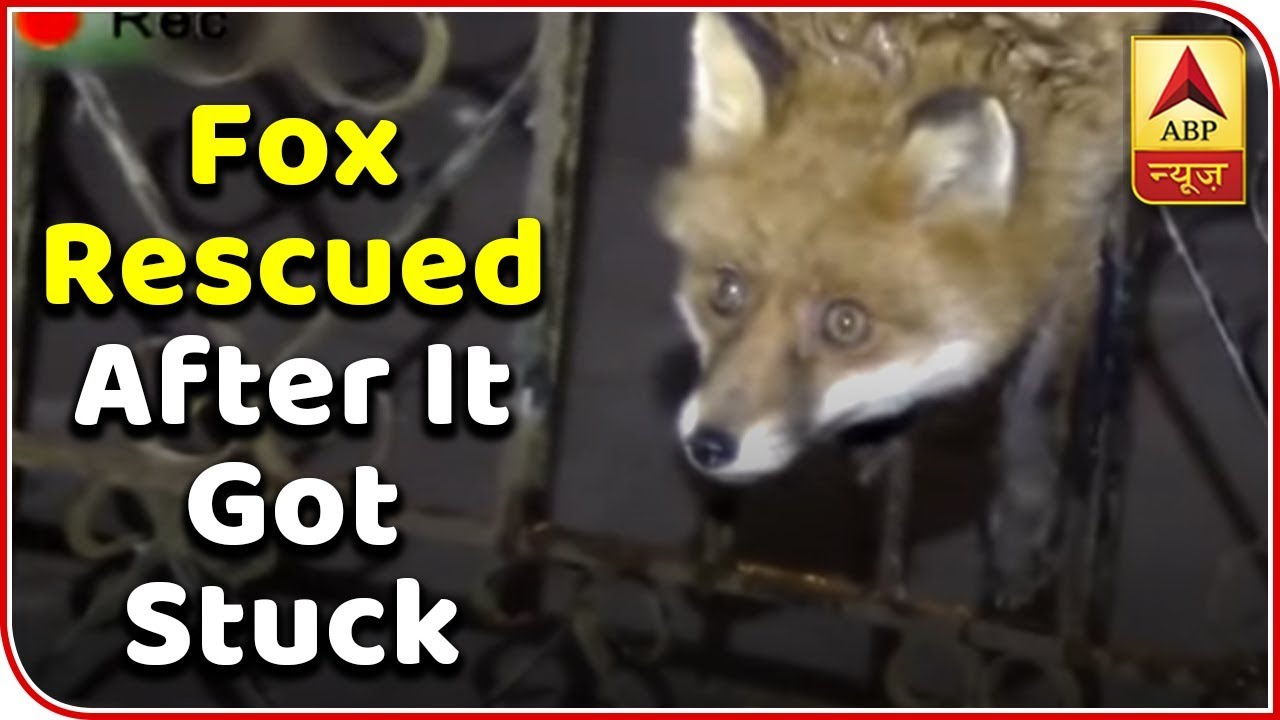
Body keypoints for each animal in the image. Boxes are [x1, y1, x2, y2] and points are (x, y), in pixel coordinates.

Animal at [657, 11, 1163, 603]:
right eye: (727, 291)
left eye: (845, 323)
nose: (709, 446)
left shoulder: (1082, 213)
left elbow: (1036, 401)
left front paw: (1021, 537)